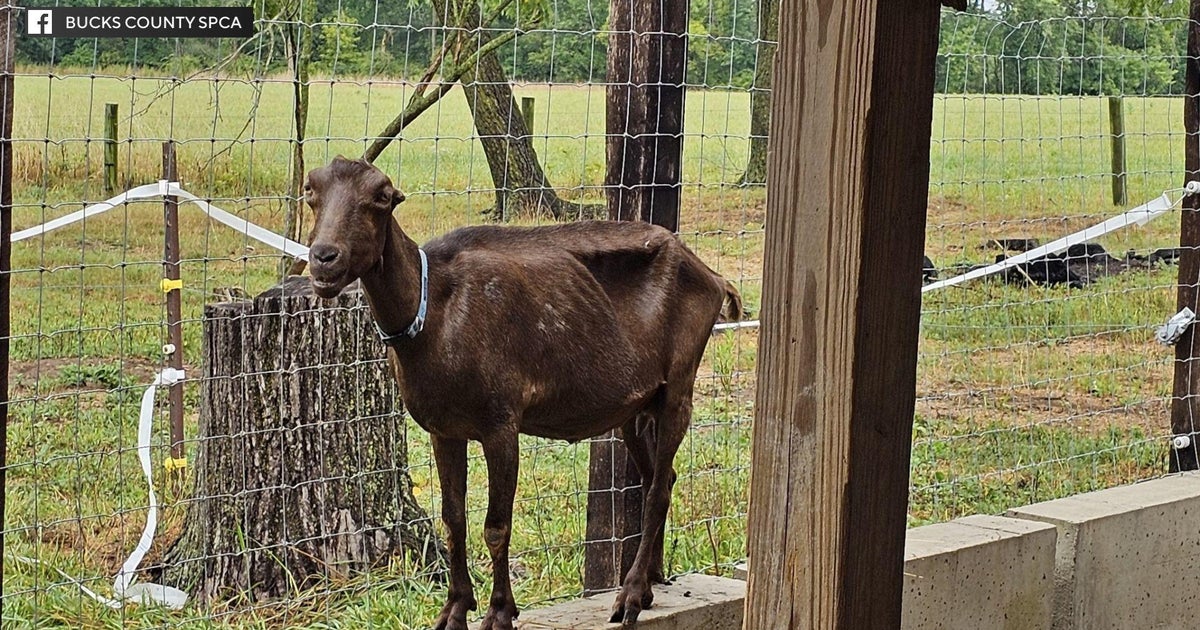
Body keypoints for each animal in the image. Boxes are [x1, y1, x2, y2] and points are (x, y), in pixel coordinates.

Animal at [303, 157, 741, 629]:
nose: (324, 258)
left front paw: (499, 611)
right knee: (659, 477)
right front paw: (455, 608)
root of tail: (712, 276)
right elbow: (453, 519)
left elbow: (496, 526)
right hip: (635, 406)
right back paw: (653, 580)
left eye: (382, 196)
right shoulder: (444, 430)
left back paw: (630, 595)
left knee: (659, 488)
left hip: (679, 387)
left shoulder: (500, 423)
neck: (434, 311)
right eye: (311, 191)